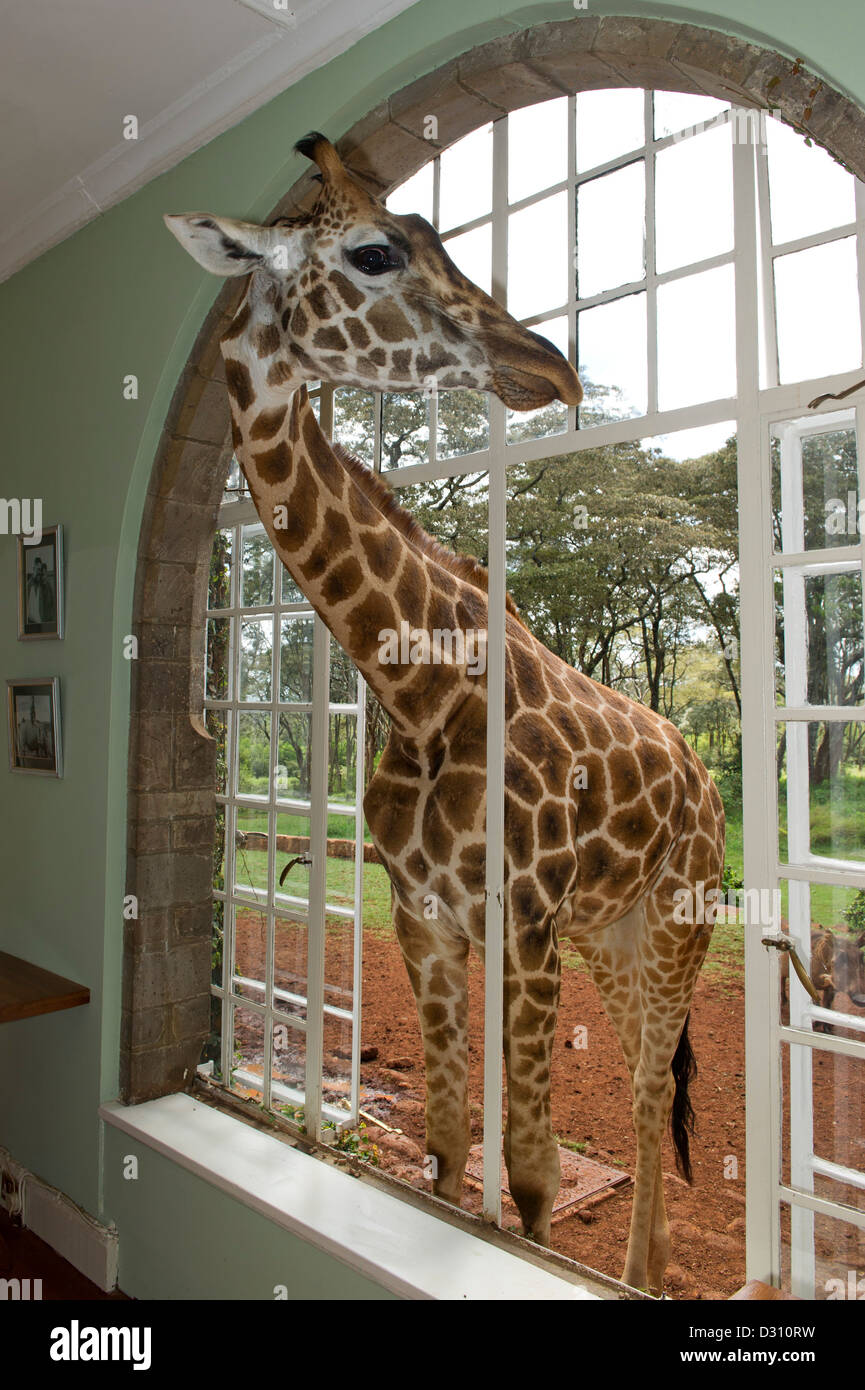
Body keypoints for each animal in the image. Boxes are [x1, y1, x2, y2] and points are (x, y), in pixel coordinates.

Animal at [165, 132, 725, 1295]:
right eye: (375, 251)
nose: (550, 365)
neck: (418, 693)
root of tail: (704, 778)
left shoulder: (523, 920)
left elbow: (531, 1173)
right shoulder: (426, 920)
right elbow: (445, 1142)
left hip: (676, 923)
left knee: (653, 1086)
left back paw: (643, 1272)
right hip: (614, 934)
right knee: (644, 1086)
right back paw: (646, 1263)